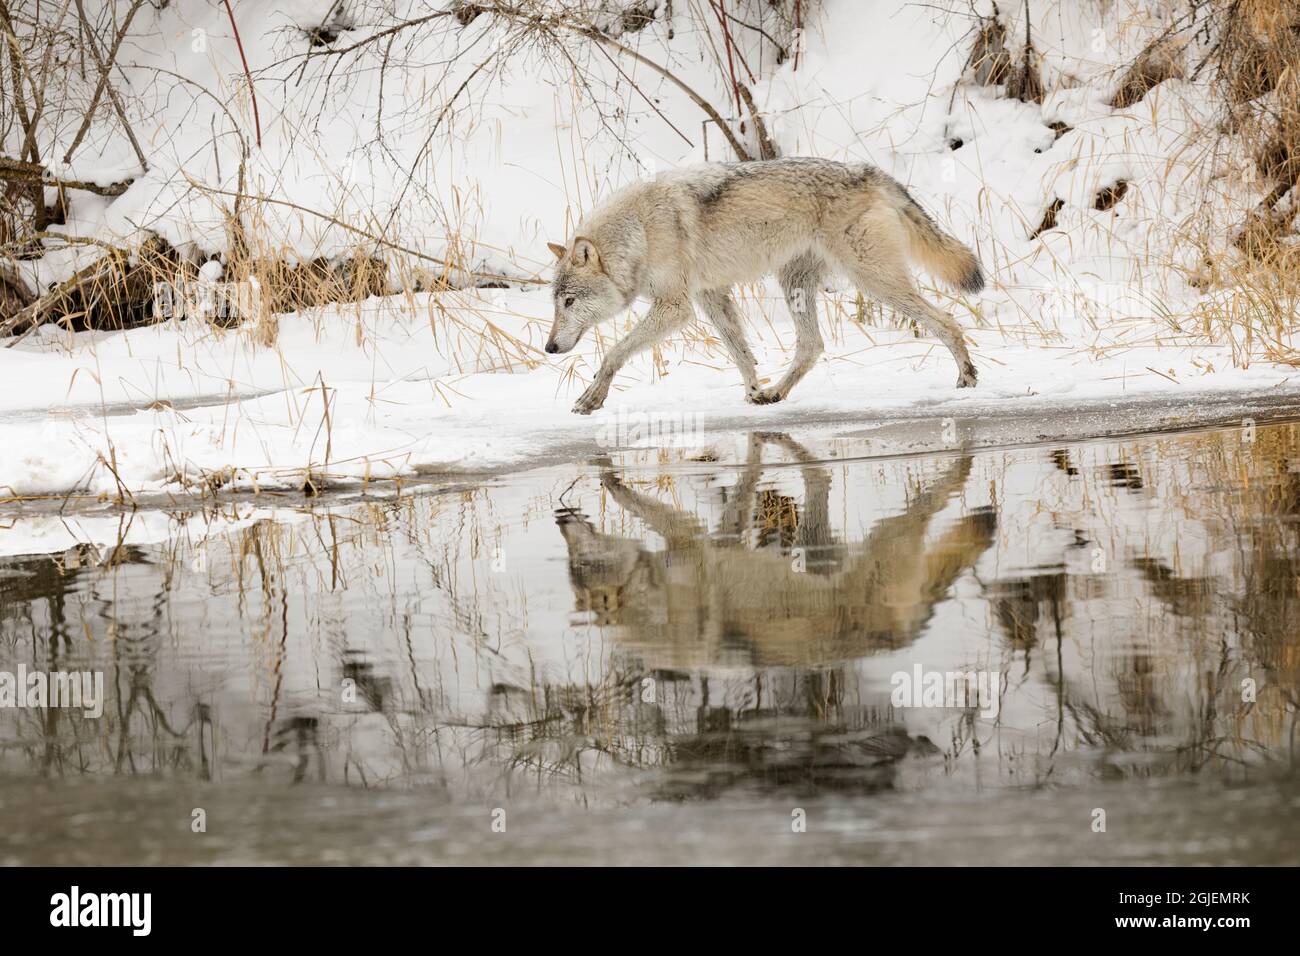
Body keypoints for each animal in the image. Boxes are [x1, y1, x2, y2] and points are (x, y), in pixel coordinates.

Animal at [544, 157, 983, 415]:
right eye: (555, 302)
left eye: (569, 302)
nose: (548, 347)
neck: (640, 232)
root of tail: (870, 172)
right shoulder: (710, 295)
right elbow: (741, 353)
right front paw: (755, 390)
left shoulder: (676, 307)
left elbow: (613, 354)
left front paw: (592, 398)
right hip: (796, 283)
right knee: (811, 346)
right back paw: (775, 395)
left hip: (874, 281)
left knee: (947, 319)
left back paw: (967, 377)